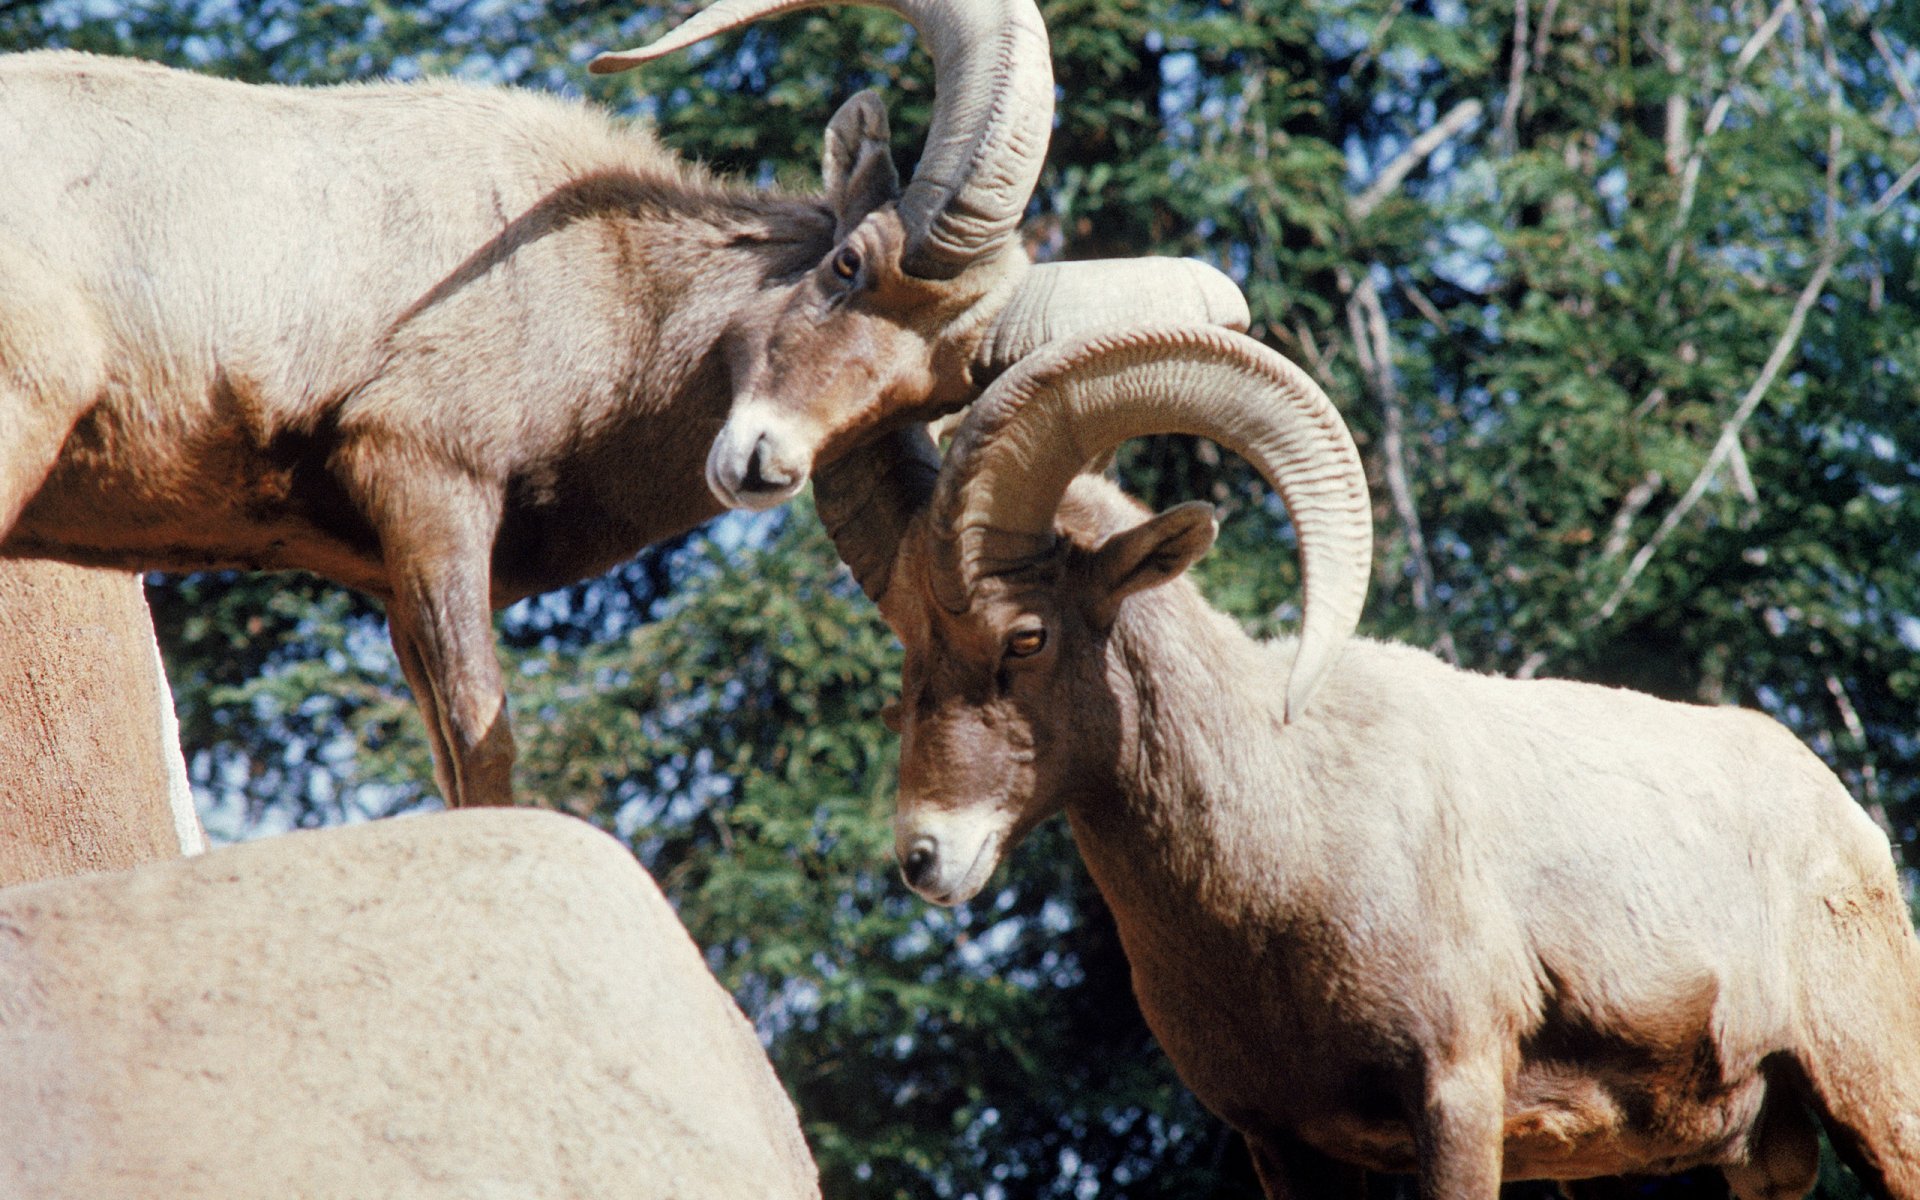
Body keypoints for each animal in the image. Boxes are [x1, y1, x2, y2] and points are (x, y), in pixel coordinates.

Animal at [0, 0, 1245, 808]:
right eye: (849, 264)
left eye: (928, 388)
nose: (762, 464)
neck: (586, 277)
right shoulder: (427, 489)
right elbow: (489, 757)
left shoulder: (398, 578)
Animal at [817, 323, 1920, 1199]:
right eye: (909, 654)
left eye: (1027, 636)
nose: (925, 855)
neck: (1282, 862)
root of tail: (1851, 827)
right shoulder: (1285, 1146)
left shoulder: (1458, 1099)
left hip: (1876, 1106)